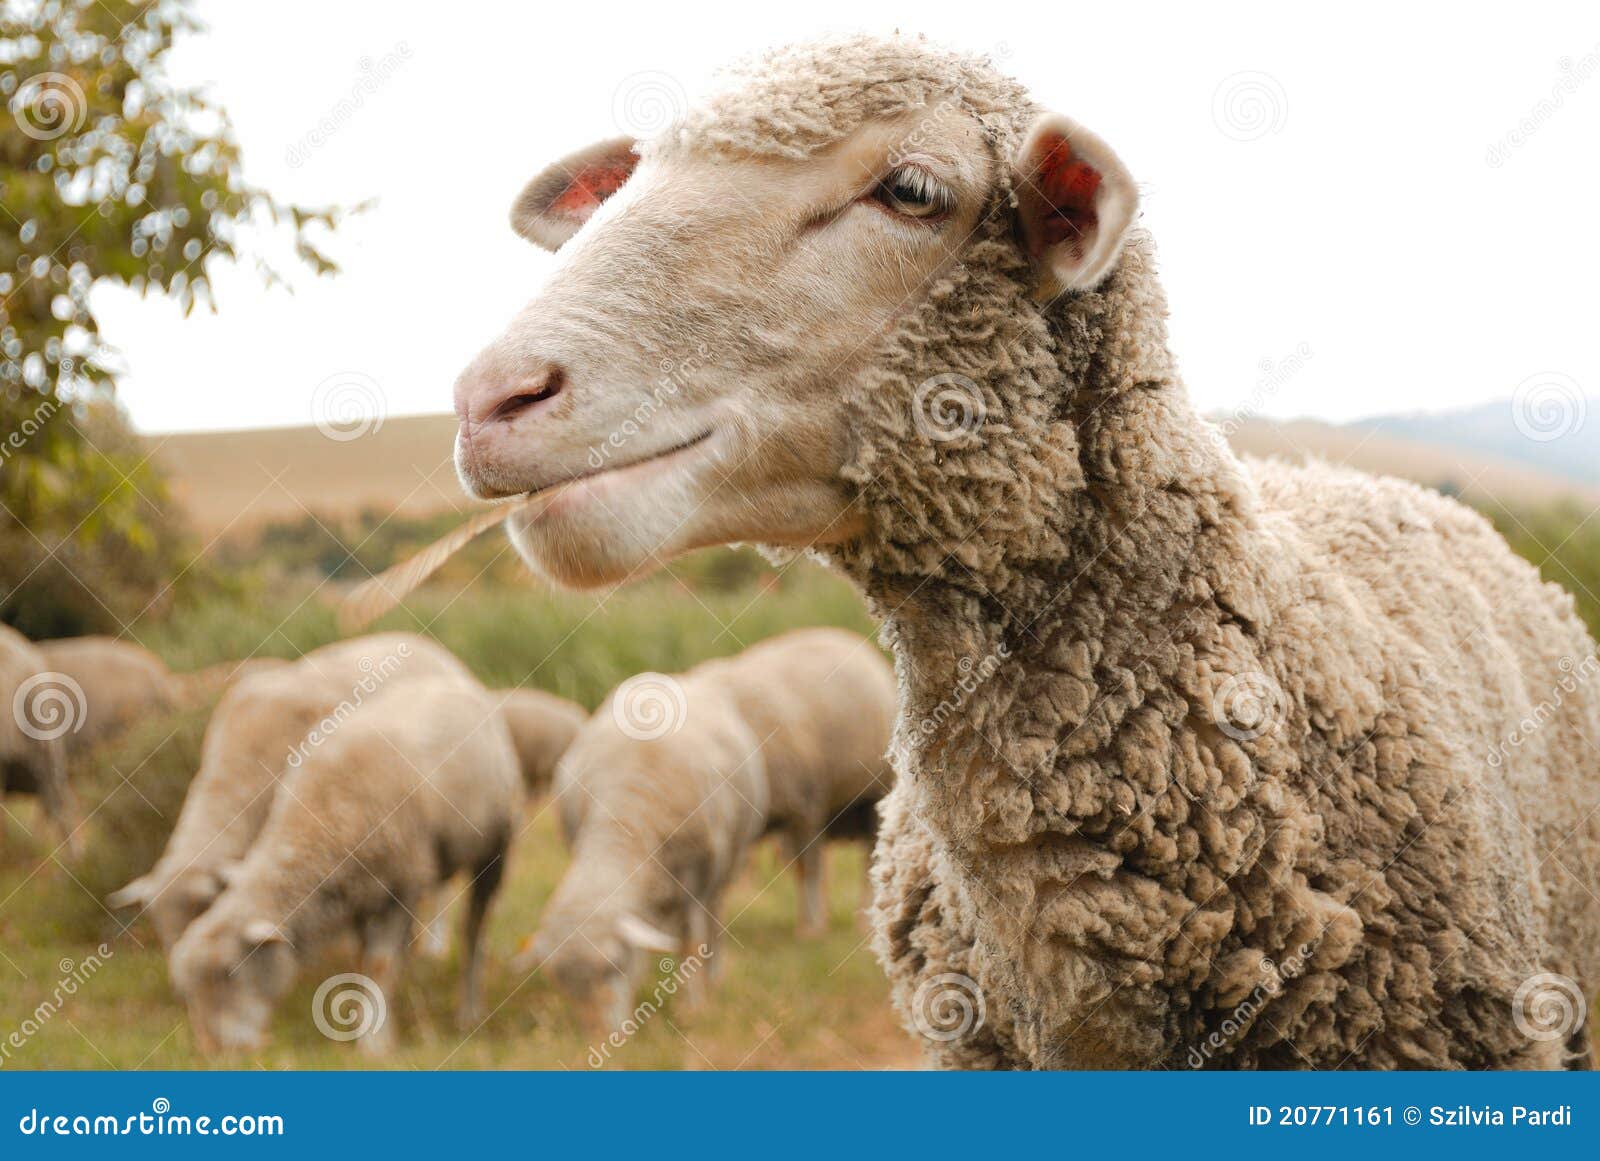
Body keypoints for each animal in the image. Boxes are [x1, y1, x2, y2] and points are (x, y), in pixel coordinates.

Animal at [168, 677, 522, 1054]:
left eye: (229, 973)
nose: (214, 1053)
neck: (322, 815)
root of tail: (454, 681)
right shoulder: (356, 894)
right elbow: (361, 961)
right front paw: (357, 1016)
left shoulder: (400, 889)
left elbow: (380, 964)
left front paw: (375, 1044)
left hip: (494, 848)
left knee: (474, 931)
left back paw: (469, 1009)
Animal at [518, 664, 769, 1030]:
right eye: (564, 987)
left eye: (615, 966)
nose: (597, 1038)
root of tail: (675, 675)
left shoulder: (696, 879)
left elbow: (691, 942)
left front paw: (691, 1009)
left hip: (727, 862)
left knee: (715, 918)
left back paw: (713, 976)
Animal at [692, 628, 896, 935]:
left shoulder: (805, 805)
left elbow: (808, 868)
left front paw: (811, 930)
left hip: (873, 794)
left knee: (867, 862)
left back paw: (864, 923)